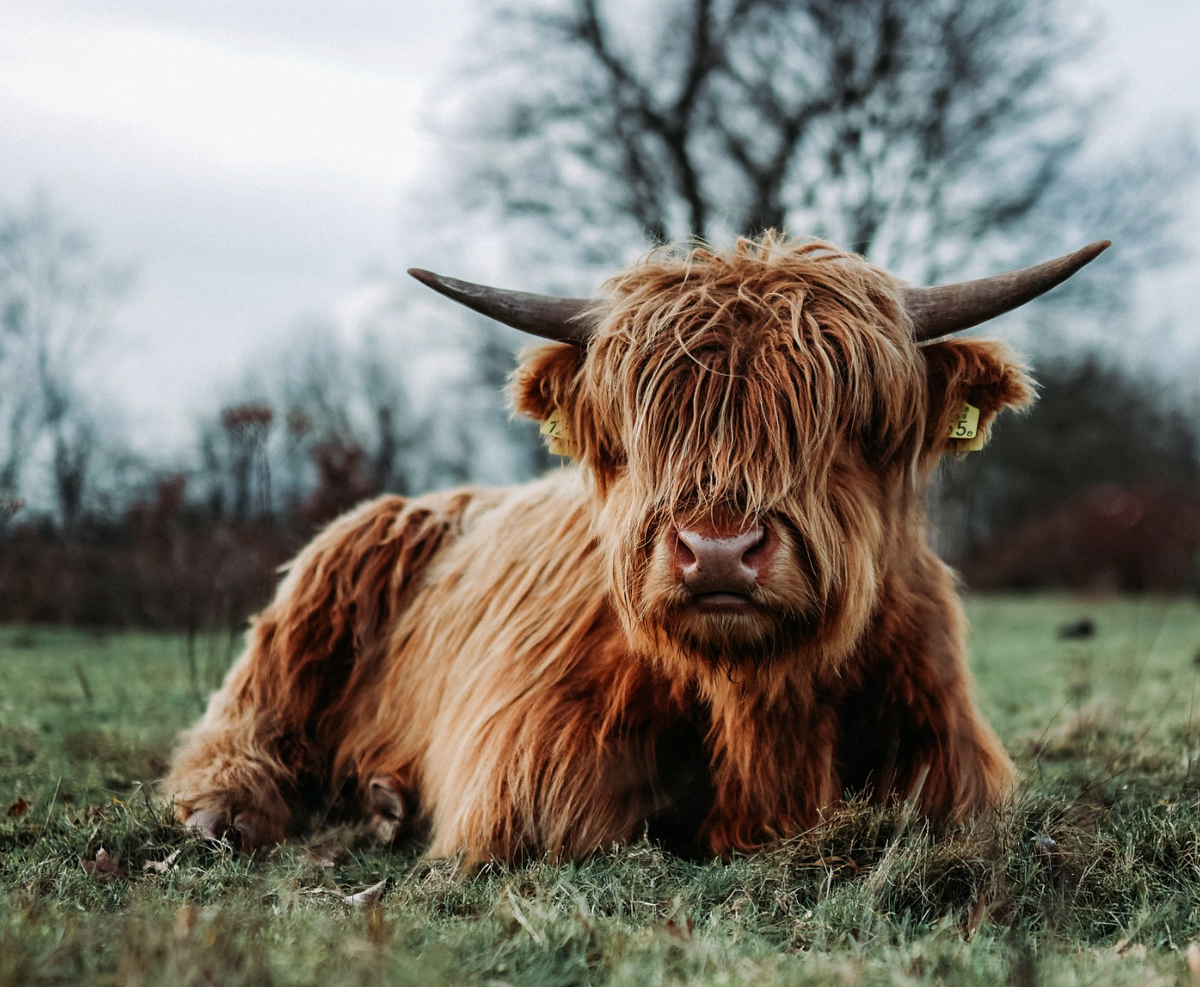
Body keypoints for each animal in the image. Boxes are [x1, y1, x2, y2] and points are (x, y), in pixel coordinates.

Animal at [165, 232, 1109, 863]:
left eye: (848, 426)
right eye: (643, 428)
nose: (719, 551)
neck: (759, 710)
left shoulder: (953, 771)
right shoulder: (531, 771)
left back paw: (383, 797)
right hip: (314, 599)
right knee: (244, 719)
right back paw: (232, 810)